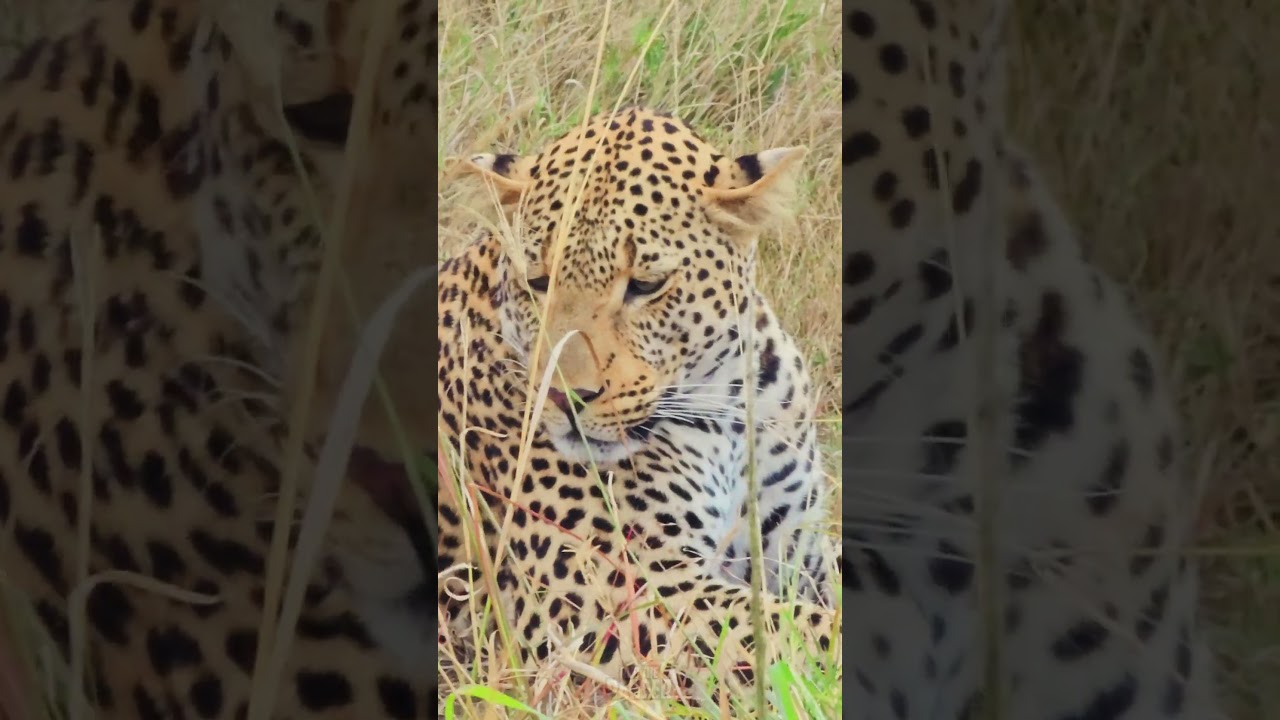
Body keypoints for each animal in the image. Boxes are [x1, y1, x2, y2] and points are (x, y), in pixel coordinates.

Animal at [436, 105, 841, 709]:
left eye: (645, 285)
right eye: (538, 282)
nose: (564, 395)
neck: (723, 403)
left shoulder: (798, 551)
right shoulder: (619, 595)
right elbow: (800, 633)